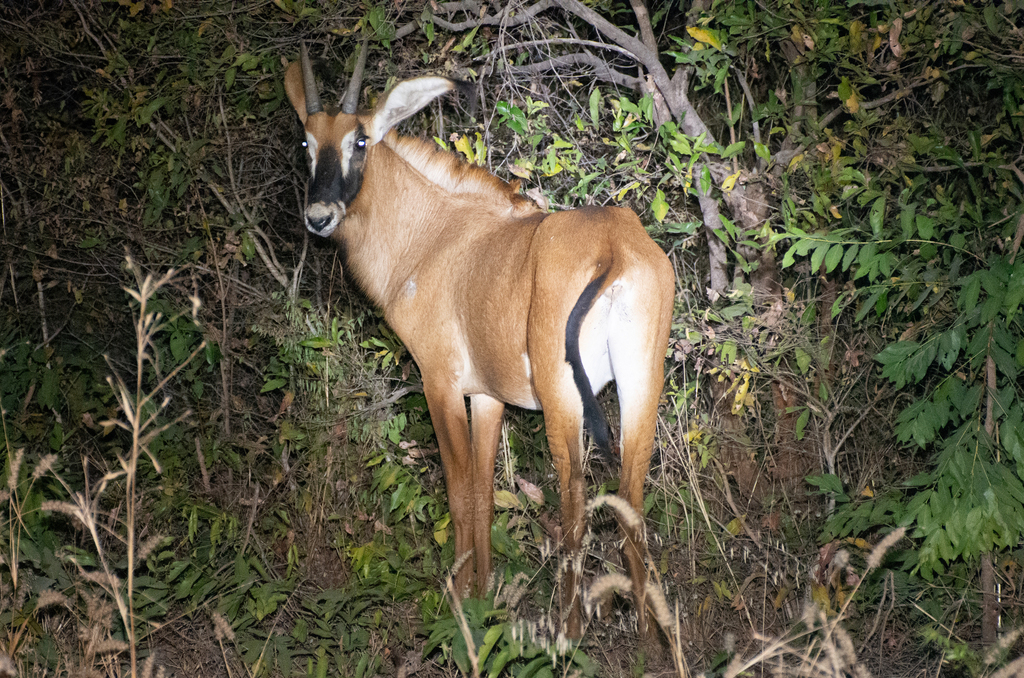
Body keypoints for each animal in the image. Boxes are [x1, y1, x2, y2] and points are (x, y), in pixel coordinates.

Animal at [285, 45, 674, 638]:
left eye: (360, 139)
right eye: (306, 141)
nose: (320, 216)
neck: (433, 236)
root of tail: (613, 245)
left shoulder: (441, 382)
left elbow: (460, 490)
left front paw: (459, 601)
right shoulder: (488, 397)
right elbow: (487, 496)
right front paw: (483, 597)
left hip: (562, 395)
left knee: (574, 499)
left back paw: (568, 631)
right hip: (639, 387)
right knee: (632, 499)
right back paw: (651, 640)